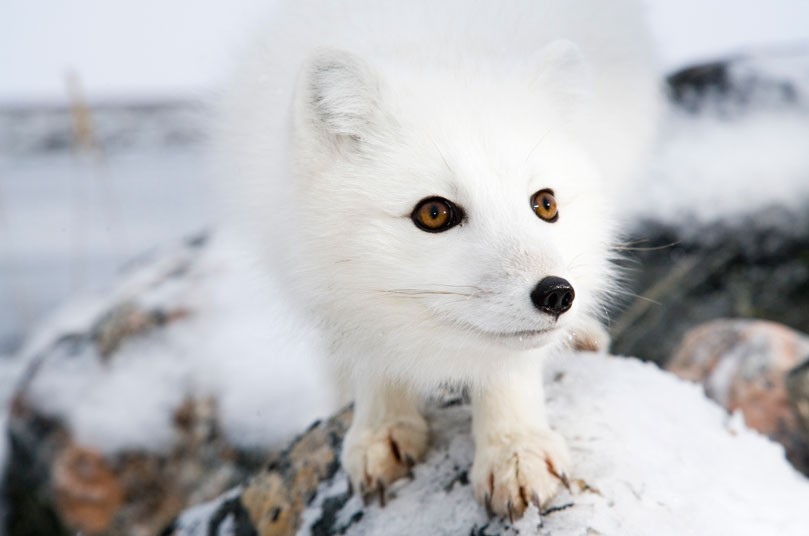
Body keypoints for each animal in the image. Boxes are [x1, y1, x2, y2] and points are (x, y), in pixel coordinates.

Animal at [218, 0, 660, 520]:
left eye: (546, 204)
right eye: (434, 213)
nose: (556, 294)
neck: (438, 43)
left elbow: (508, 366)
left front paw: (515, 450)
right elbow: (369, 352)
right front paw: (382, 426)